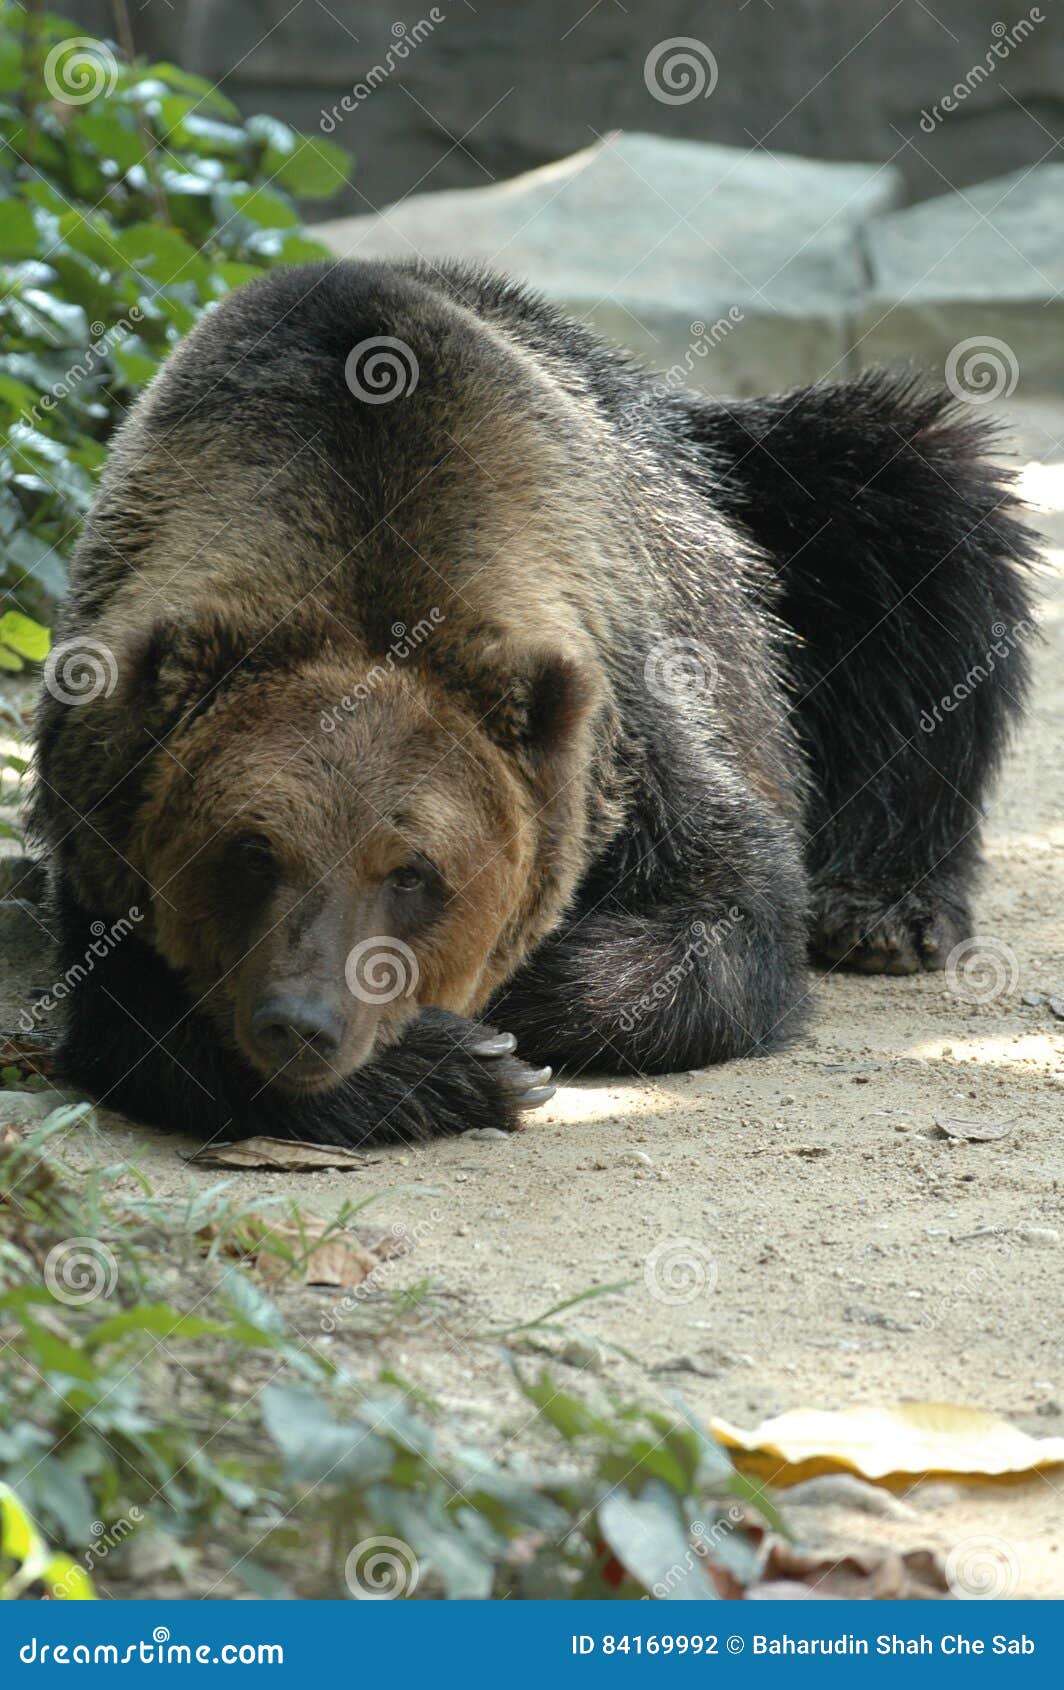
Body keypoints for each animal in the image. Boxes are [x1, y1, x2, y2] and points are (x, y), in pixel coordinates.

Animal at [26, 259, 1037, 1146]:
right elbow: (136, 1015)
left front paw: (523, 1008)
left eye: (412, 871)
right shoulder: (100, 793)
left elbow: (727, 904)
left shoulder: (635, 705)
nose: (302, 1021)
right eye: (247, 853)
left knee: (913, 505)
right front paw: (445, 1067)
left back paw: (882, 909)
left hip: (763, 501)